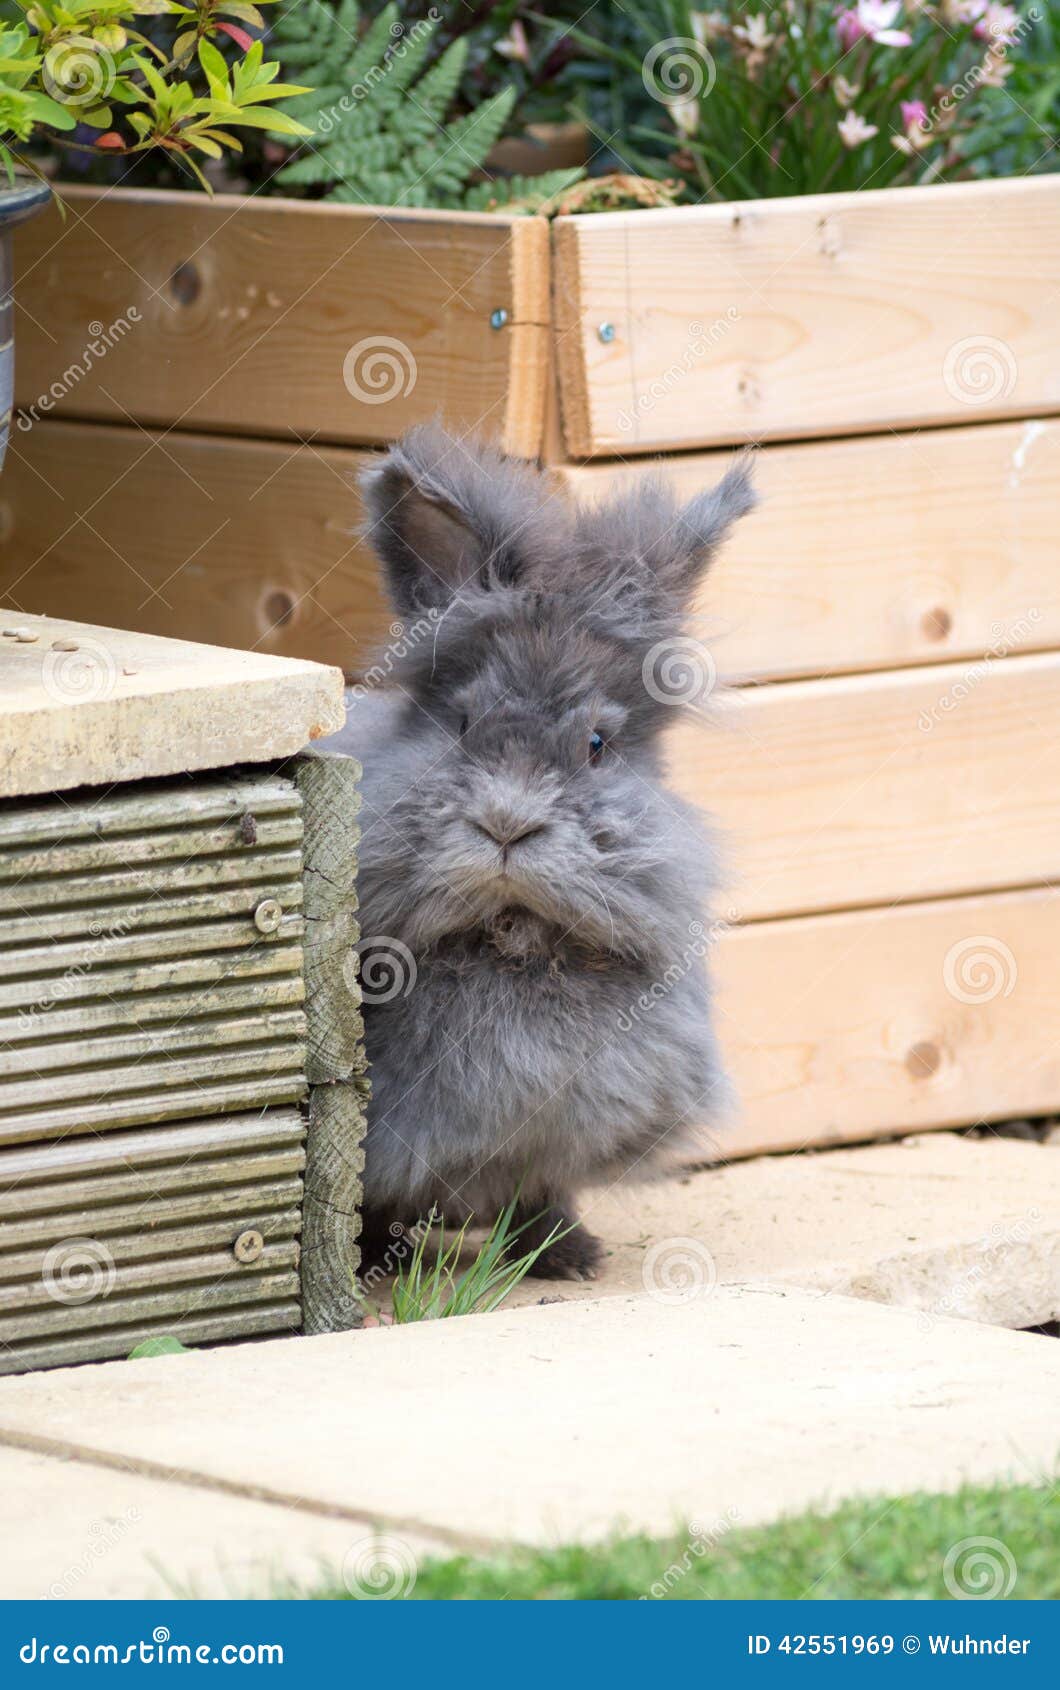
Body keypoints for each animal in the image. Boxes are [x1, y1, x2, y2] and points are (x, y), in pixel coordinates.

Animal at [326, 424, 755, 1281]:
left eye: (597, 745)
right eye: (461, 724)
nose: (507, 824)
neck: (514, 946)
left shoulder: (554, 1143)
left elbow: (541, 1194)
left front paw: (571, 1256)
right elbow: (378, 1203)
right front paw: (377, 1262)